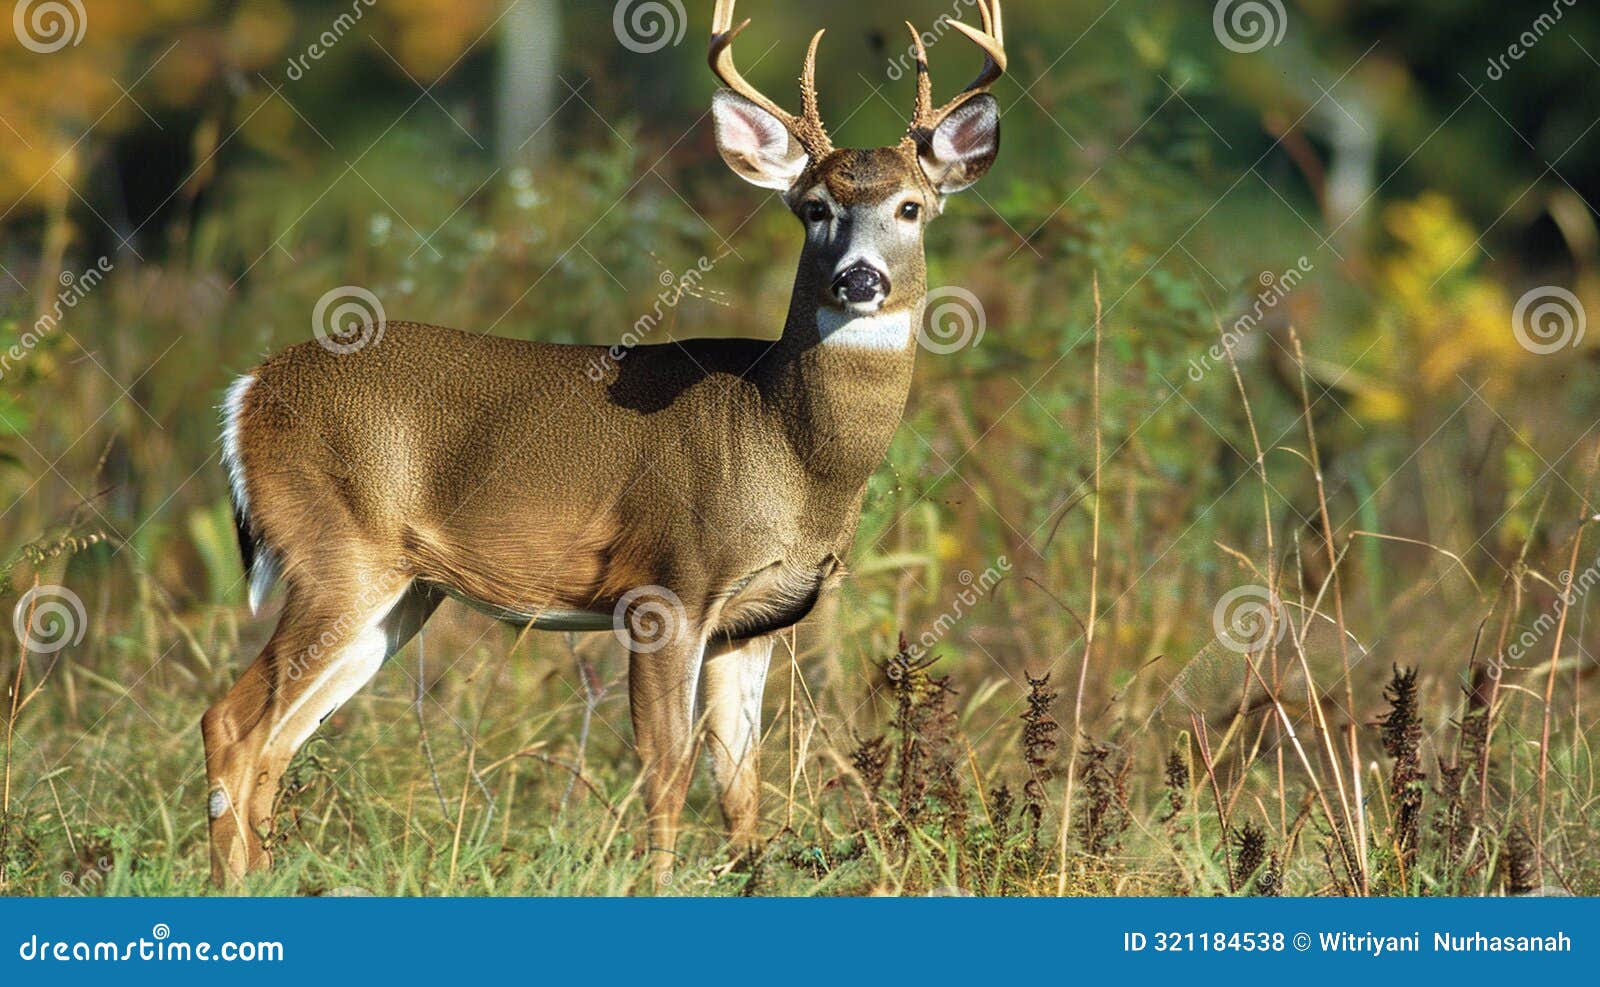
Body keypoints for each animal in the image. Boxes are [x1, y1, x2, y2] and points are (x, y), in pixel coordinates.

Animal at [204, 0, 1004, 885]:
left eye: (911, 207)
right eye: (815, 206)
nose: (859, 279)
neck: (788, 448)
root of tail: (248, 389)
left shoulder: (753, 621)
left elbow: (741, 785)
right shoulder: (668, 585)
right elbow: (666, 768)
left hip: (403, 588)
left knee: (280, 740)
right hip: (335, 548)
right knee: (231, 723)